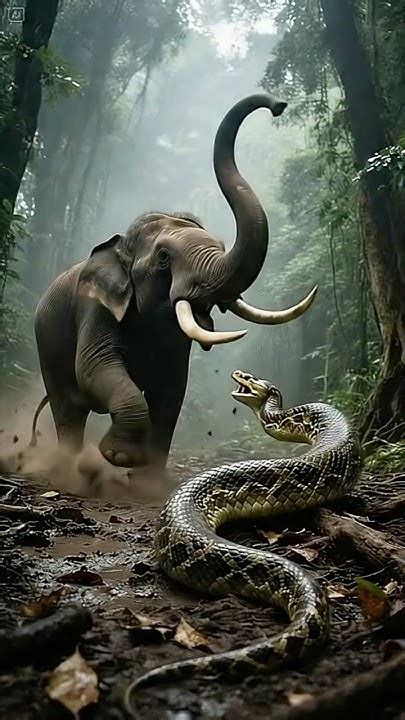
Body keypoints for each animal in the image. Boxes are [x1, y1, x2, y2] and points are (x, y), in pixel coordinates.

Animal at [32, 94, 317, 471]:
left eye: (222, 246)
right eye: (164, 257)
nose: (278, 105)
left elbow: (171, 392)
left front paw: (145, 476)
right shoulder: (94, 306)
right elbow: (96, 366)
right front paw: (118, 456)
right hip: (46, 342)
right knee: (68, 408)